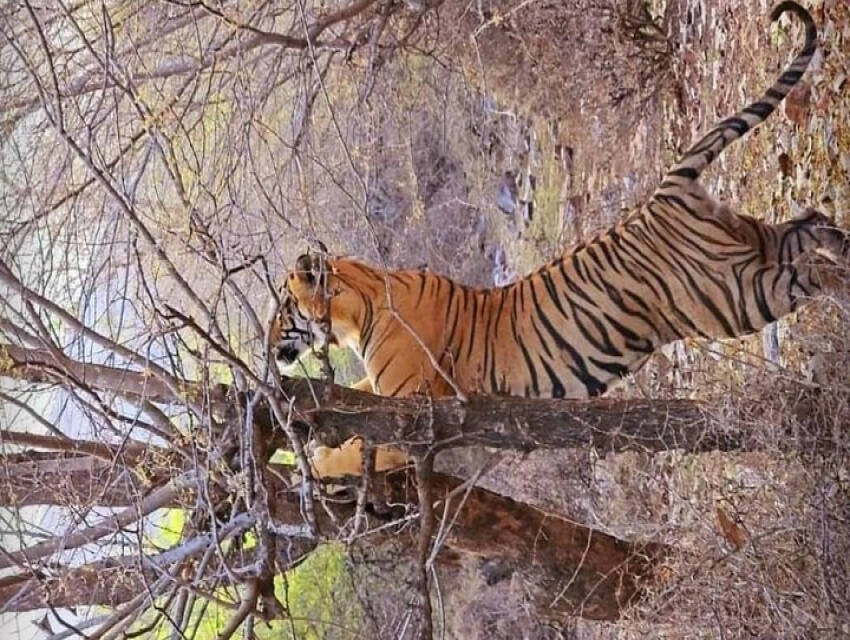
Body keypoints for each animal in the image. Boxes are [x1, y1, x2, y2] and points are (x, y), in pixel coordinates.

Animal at [271, 2, 846, 473]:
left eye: (283, 306)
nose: (270, 343)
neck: (361, 309)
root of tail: (665, 191)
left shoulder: (410, 409)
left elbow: (352, 449)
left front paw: (316, 462)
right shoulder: (381, 388)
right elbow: (354, 398)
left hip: (726, 298)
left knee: (813, 269)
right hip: (748, 246)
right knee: (813, 221)